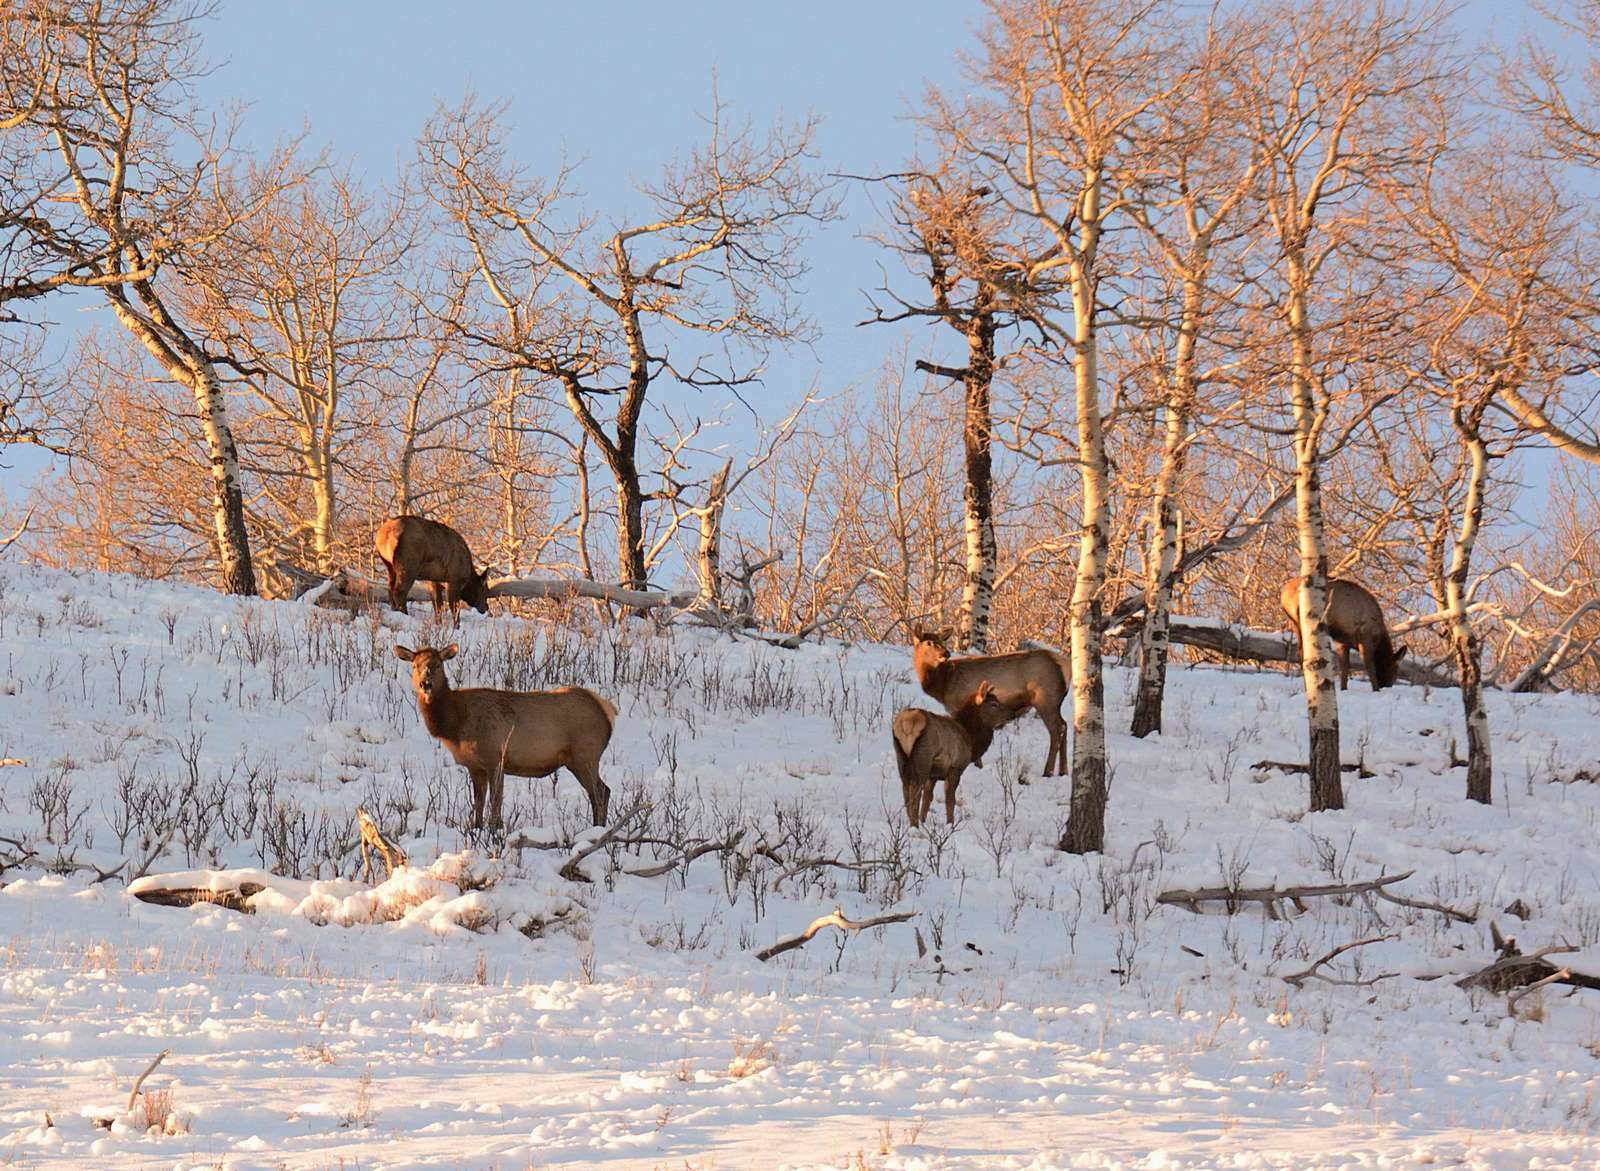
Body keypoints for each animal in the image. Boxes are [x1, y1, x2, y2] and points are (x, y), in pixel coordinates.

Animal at [394, 644, 616, 829]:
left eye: (438, 664)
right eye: (414, 665)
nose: (425, 684)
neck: (455, 726)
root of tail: (607, 711)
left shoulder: (495, 758)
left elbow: (495, 801)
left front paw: (495, 829)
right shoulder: (474, 766)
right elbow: (478, 802)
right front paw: (476, 829)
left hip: (585, 756)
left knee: (601, 792)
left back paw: (597, 829)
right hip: (579, 760)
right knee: (601, 791)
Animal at [892, 682, 1033, 827]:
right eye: (993, 704)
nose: (1012, 714)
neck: (971, 739)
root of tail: (907, 723)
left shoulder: (934, 774)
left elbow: (928, 798)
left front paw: (924, 820)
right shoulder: (956, 767)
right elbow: (950, 800)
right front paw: (950, 824)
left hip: (902, 758)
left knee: (906, 790)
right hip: (922, 758)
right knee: (915, 793)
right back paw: (914, 826)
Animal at [910, 628, 1070, 776]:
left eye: (941, 642)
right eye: (929, 642)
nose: (946, 653)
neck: (943, 685)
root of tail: (1065, 666)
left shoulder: (959, 705)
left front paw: (976, 765)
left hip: (1045, 699)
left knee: (1057, 729)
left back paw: (1048, 771)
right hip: (1055, 702)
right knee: (1065, 724)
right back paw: (1063, 771)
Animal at [1279, 575, 1409, 691]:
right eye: (1395, 670)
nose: (1387, 685)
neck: (1378, 637)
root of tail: (1283, 594)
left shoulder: (1343, 641)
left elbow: (1345, 667)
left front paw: (1343, 688)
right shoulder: (1365, 636)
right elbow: (1369, 666)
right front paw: (1376, 689)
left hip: (1295, 623)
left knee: (1300, 653)